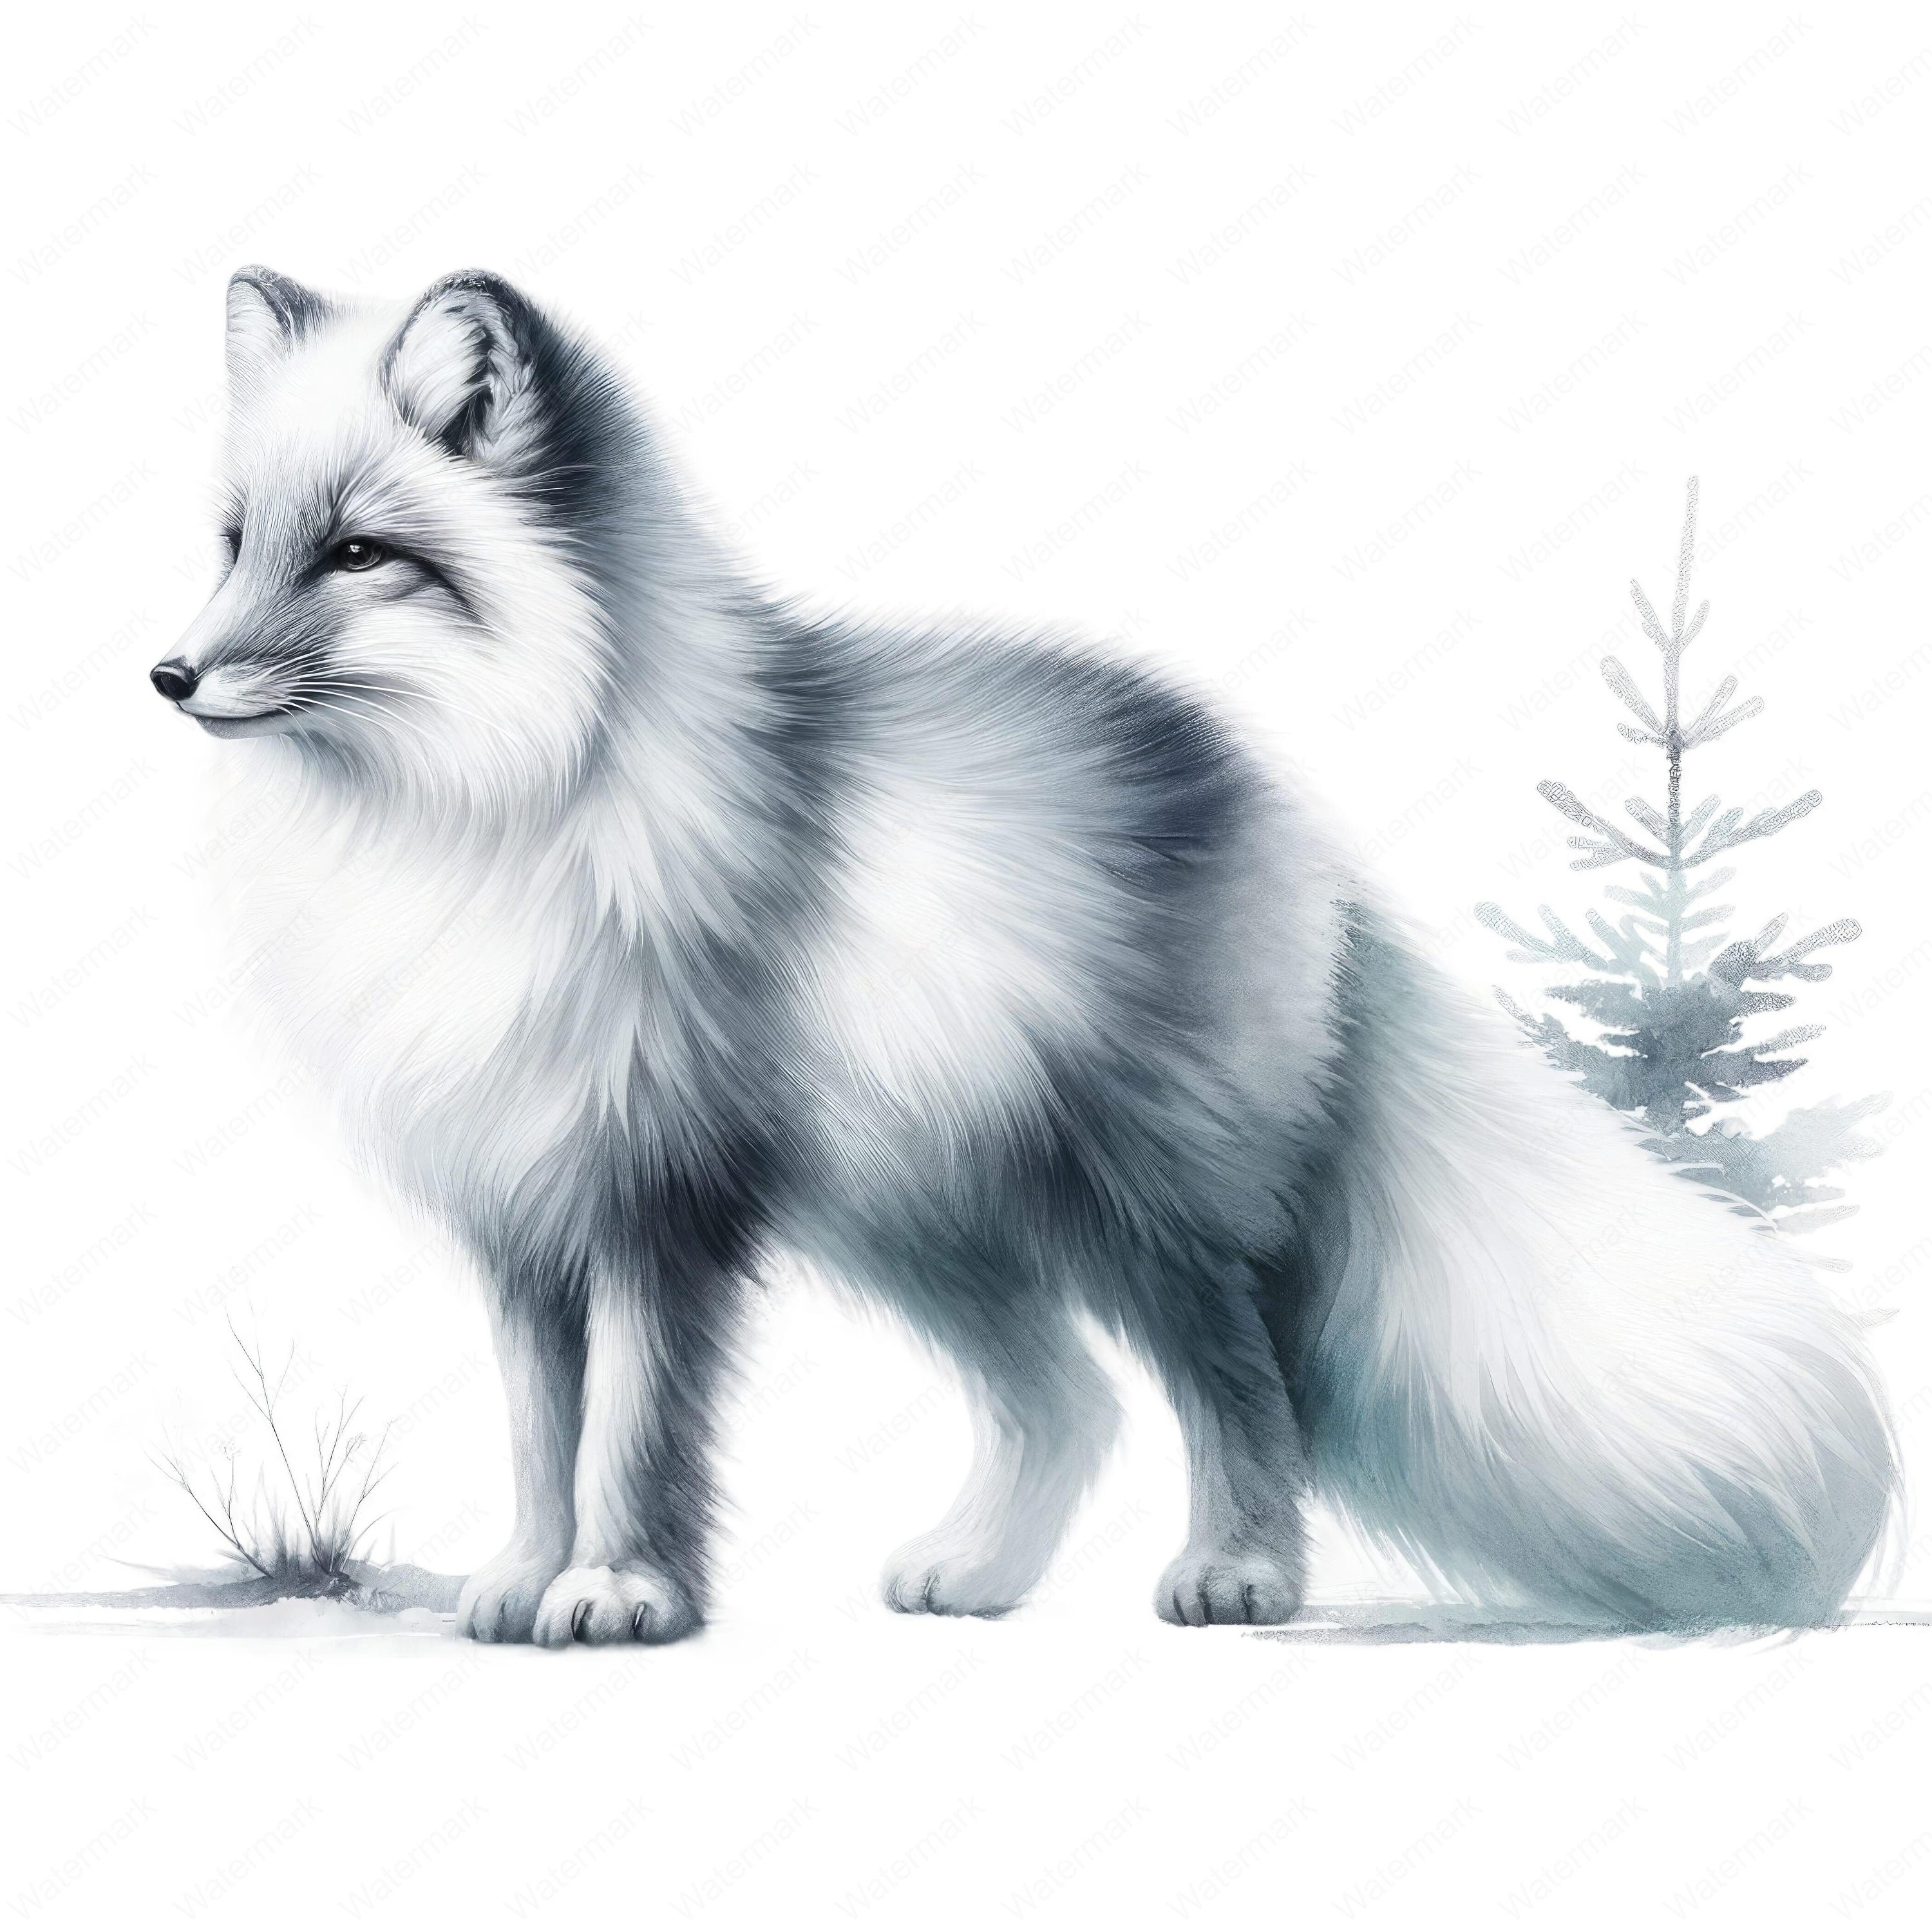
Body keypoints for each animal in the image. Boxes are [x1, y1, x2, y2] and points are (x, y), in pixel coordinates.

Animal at [151, 265, 1895, 1645]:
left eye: (358, 554)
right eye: (234, 543)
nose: (169, 676)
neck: (478, 812)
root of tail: (1270, 795)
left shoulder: (657, 1199)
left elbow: (631, 1435)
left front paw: (624, 1591)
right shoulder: (522, 1211)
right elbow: (538, 1434)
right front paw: (522, 1578)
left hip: (1139, 1213)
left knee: (1239, 1382)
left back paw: (1243, 1575)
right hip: (926, 1225)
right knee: (1073, 1399)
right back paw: (980, 1574)